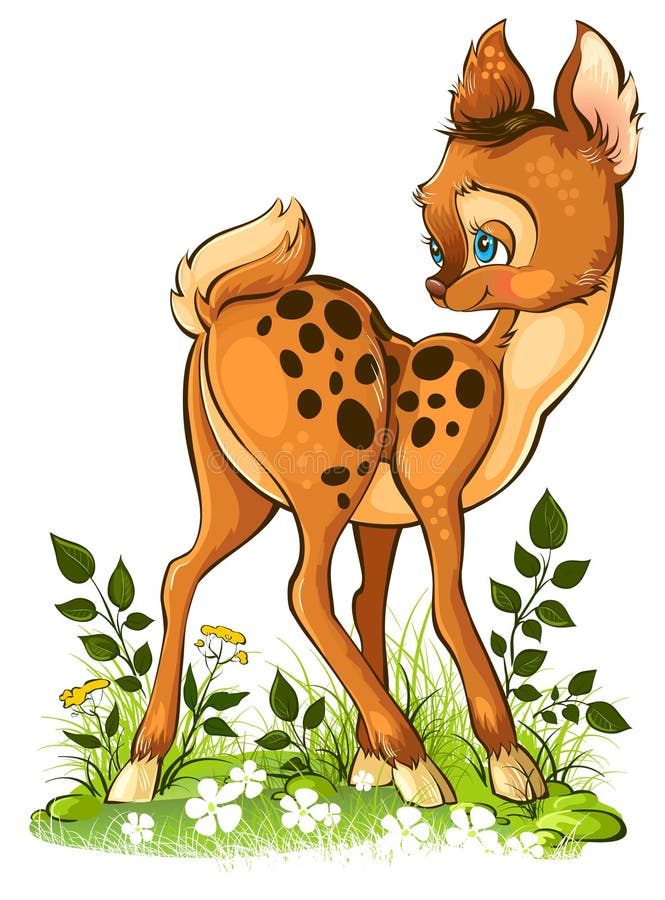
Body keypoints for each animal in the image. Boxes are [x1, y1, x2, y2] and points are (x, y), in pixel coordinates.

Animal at [107, 21, 640, 808]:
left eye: (486, 241)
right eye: (435, 233)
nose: (438, 285)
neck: (511, 379)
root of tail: (212, 311)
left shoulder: (380, 517)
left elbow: (369, 604)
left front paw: (367, 766)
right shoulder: (435, 491)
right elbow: (446, 609)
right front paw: (508, 767)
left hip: (233, 483)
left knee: (182, 571)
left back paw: (139, 770)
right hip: (326, 470)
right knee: (302, 592)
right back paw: (424, 770)